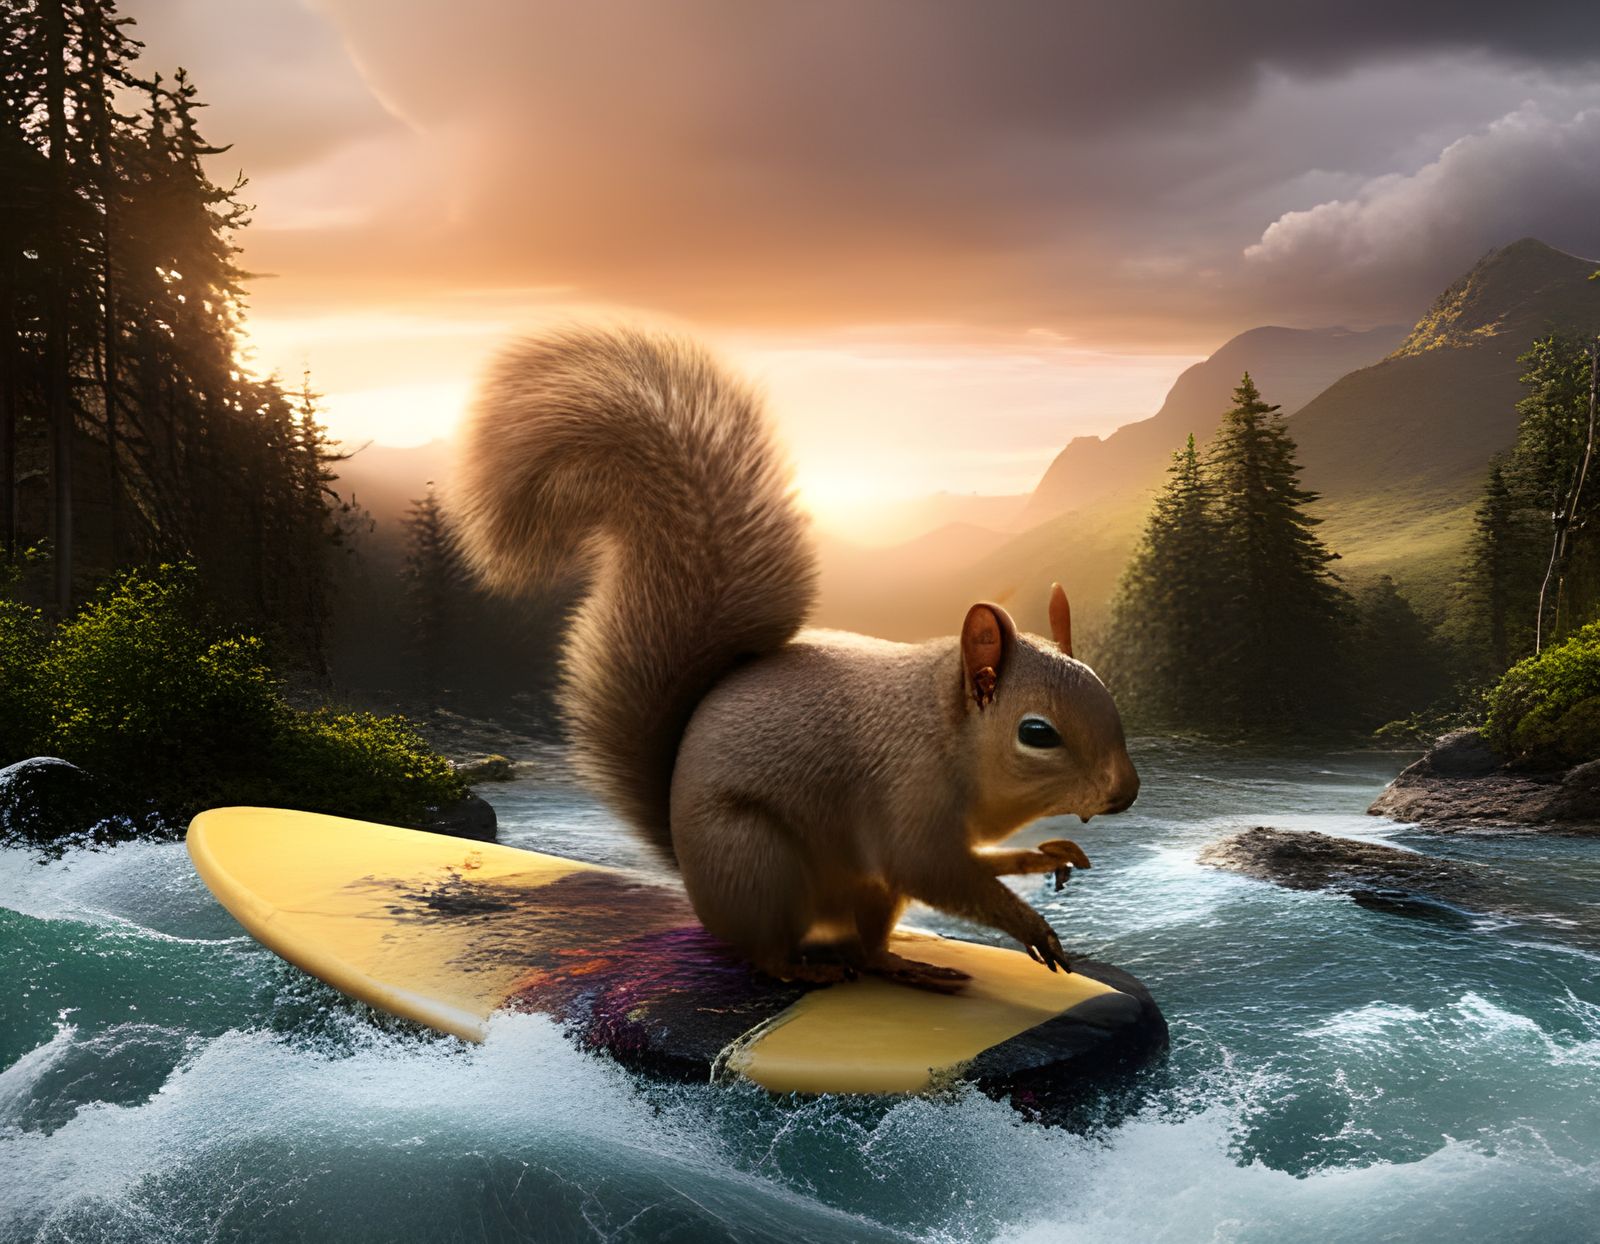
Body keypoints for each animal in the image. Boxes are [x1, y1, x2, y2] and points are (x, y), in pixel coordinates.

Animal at [454, 325, 1139, 992]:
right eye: (1037, 733)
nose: (1126, 793)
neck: (948, 731)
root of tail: (693, 873)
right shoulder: (907, 793)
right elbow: (932, 870)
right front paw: (1031, 924)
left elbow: (966, 864)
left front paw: (1045, 855)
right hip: (756, 860)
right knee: (767, 949)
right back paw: (803, 966)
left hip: (861, 890)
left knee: (868, 947)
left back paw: (905, 964)